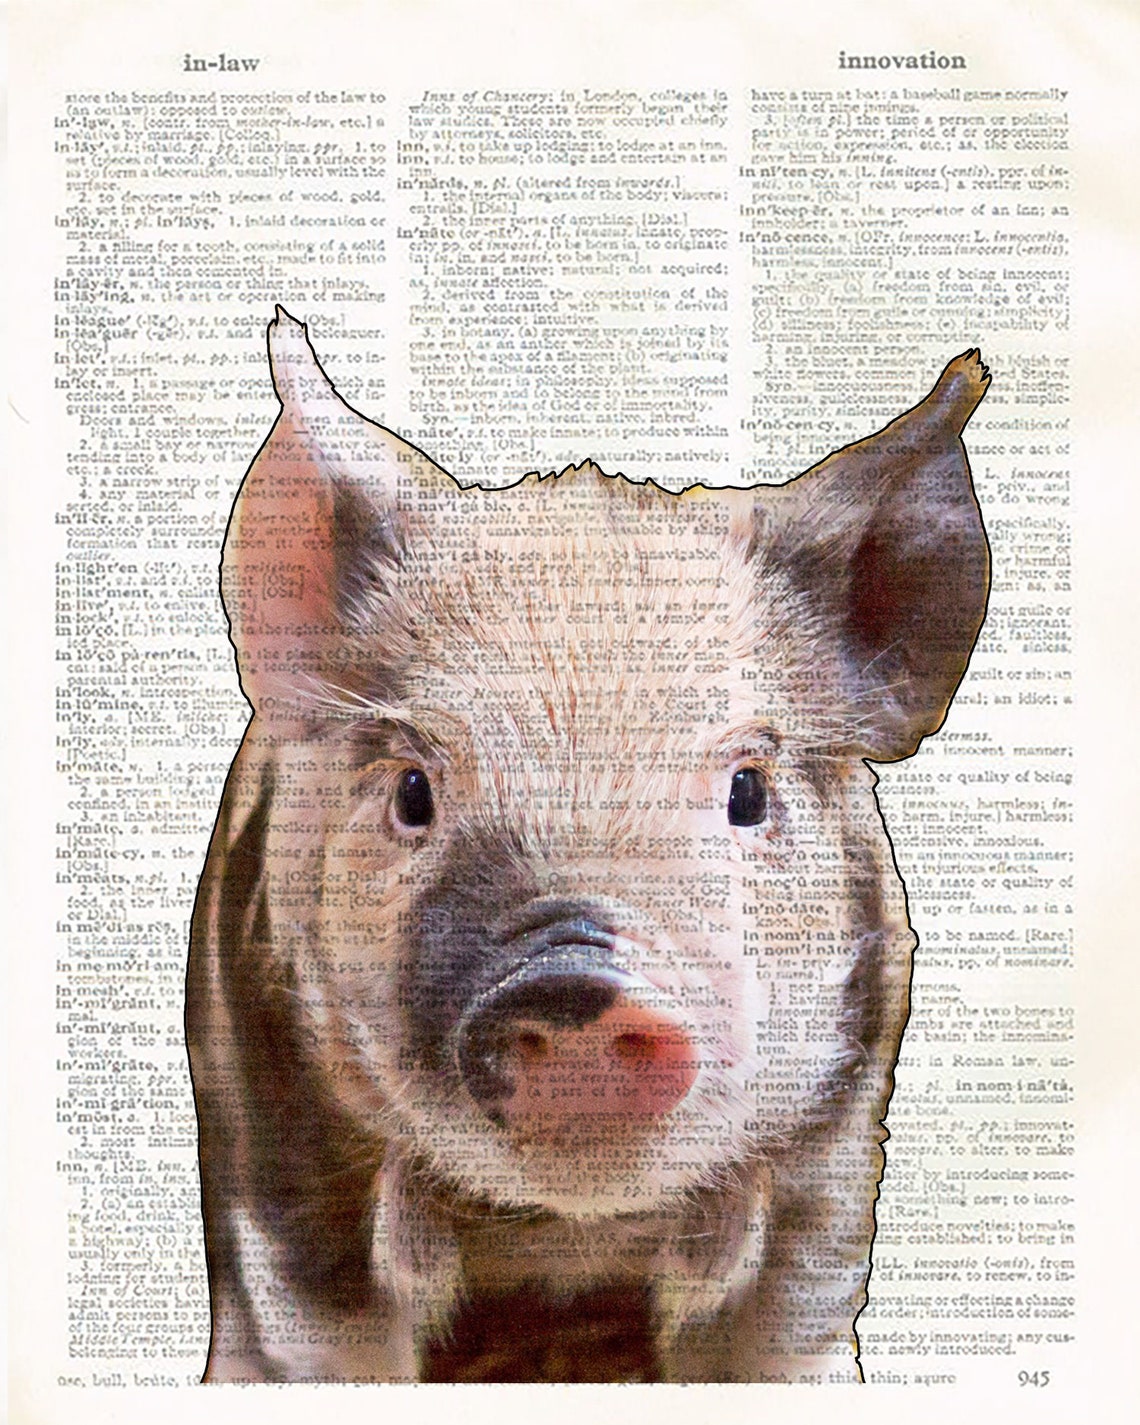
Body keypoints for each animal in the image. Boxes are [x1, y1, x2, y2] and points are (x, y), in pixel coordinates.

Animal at [187, 307, 990, 1383]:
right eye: (412, 792)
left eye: (747, 791)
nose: (574, 986)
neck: (564, 1251)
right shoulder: (279, 1172)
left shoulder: (828, 1181)